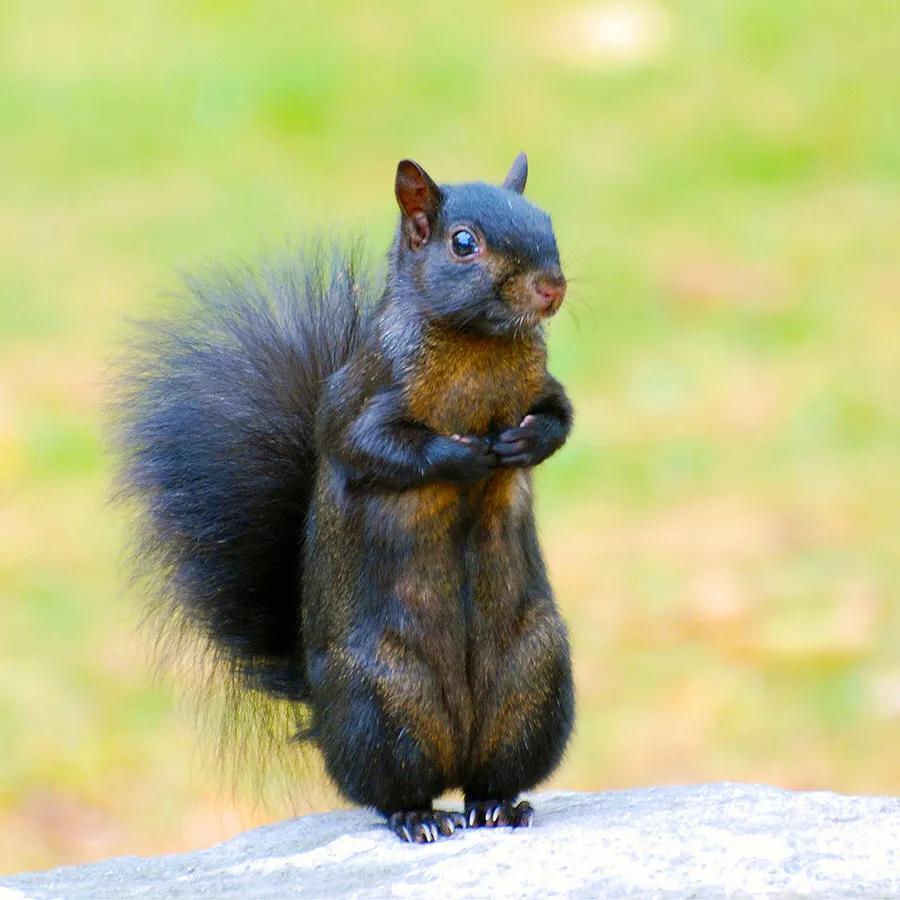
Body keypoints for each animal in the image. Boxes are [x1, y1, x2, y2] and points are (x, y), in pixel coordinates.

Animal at [114, 153, 575, 843]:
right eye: (463, 243)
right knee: (391, 789)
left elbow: (560, 418)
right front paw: (463, 456)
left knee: (488, 778)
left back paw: (498, 805)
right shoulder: (363, 398)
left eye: (546, 218)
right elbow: (374, 448)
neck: (480, 346)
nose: (553, 288)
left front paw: (524, 442)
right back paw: (418, 817)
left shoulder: (543, 386)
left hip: (534, 676)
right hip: (379, 699)